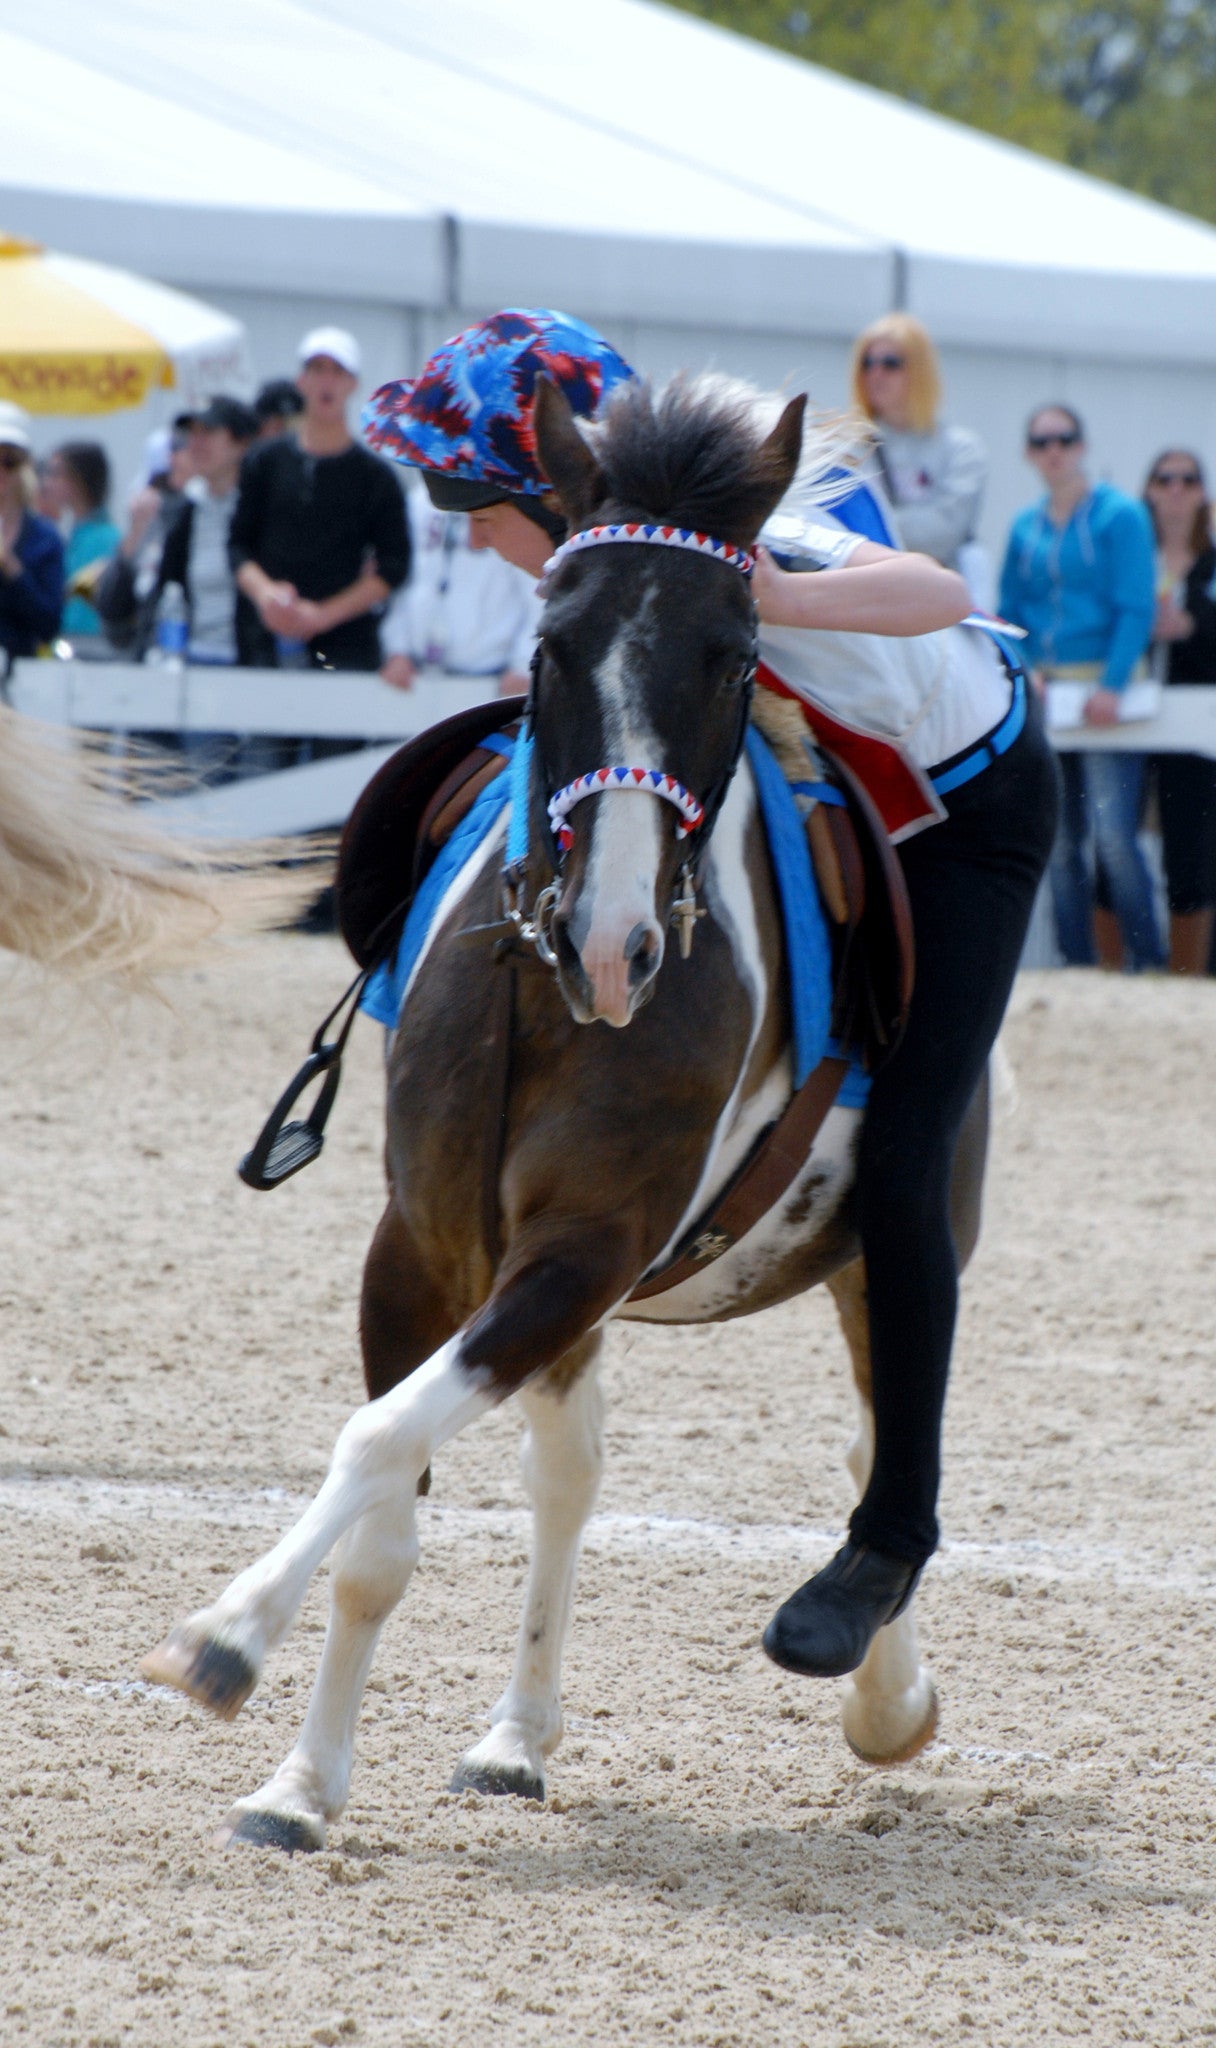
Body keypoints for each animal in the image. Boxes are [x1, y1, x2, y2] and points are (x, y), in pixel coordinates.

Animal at [142, 372, 990, 1852]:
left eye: (737, 653)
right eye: (550, 644)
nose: (613, 943)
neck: (544, 997)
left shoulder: (586, 1244)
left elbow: (380, 1440)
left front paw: (225, 1637)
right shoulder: (427, 1247)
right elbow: (384, 1507)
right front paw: (301, 1785)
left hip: (889, 1224)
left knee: (886, 1421)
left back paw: (878, 1683)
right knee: (575, 1472)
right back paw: (514, 1737)